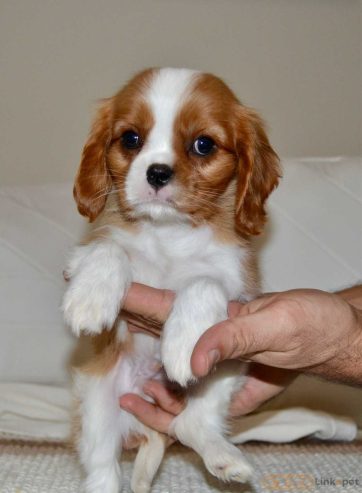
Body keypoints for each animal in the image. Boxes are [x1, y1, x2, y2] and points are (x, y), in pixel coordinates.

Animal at [62, 68, 280, 492]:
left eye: (203, 144)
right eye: (131, 139)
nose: (158, 172)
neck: (170, 232)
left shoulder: (239, 285)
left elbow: (205, 282)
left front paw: (185, 341)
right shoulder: (80, 256)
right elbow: (108, 249)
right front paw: (90, 301)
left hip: (225, 366)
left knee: (192, 423)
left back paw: (224, 458)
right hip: (98, 398)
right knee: (103, 467)